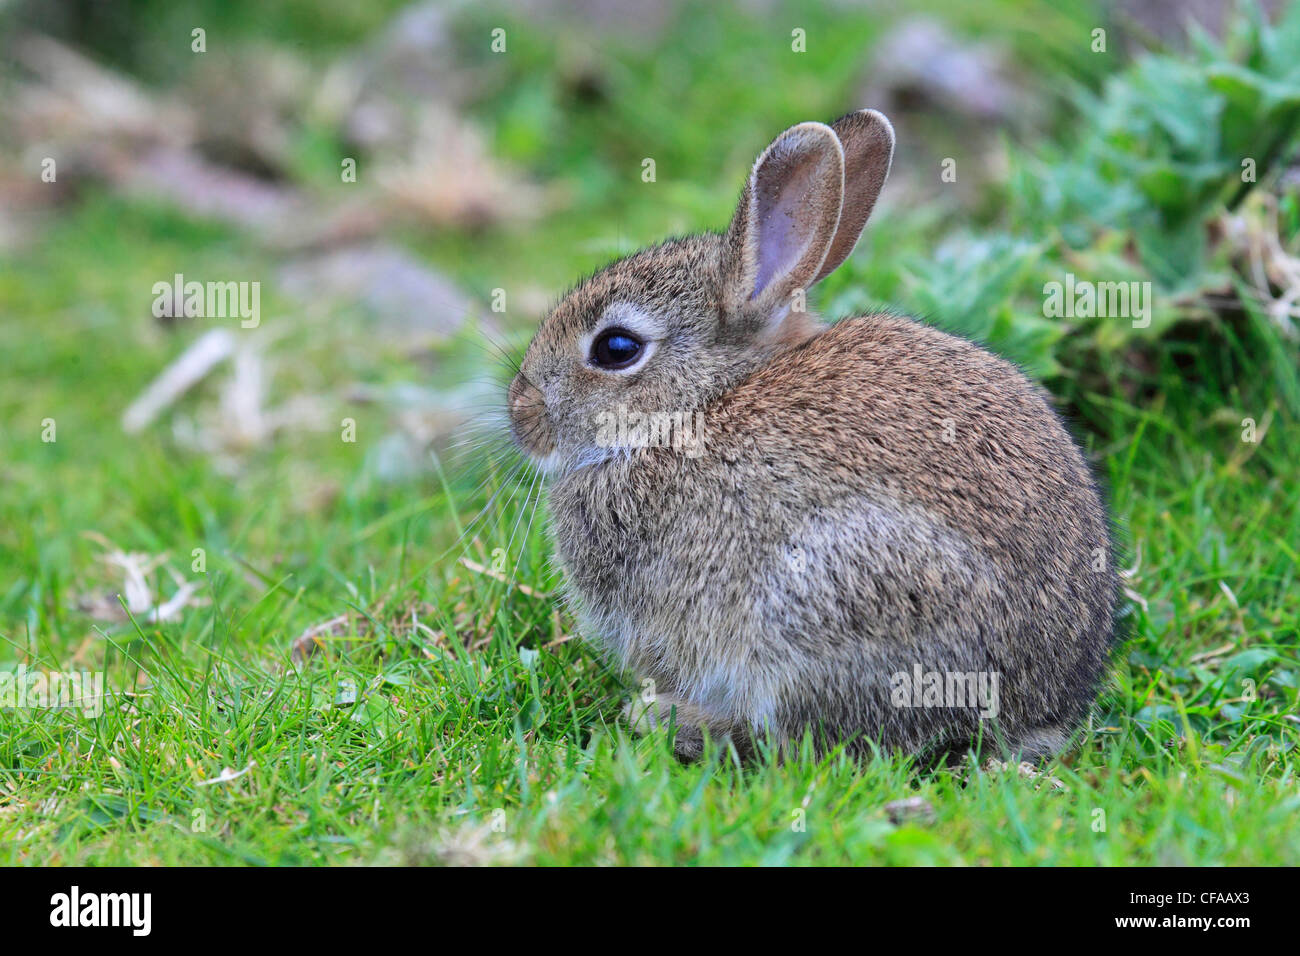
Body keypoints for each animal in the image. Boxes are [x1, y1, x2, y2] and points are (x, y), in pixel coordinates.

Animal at [506, 109, 1117, 762]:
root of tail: (1041, 710)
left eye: (615, 348)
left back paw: (673, 720)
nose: (520, 412)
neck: (696, 407)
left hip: (824, 601)